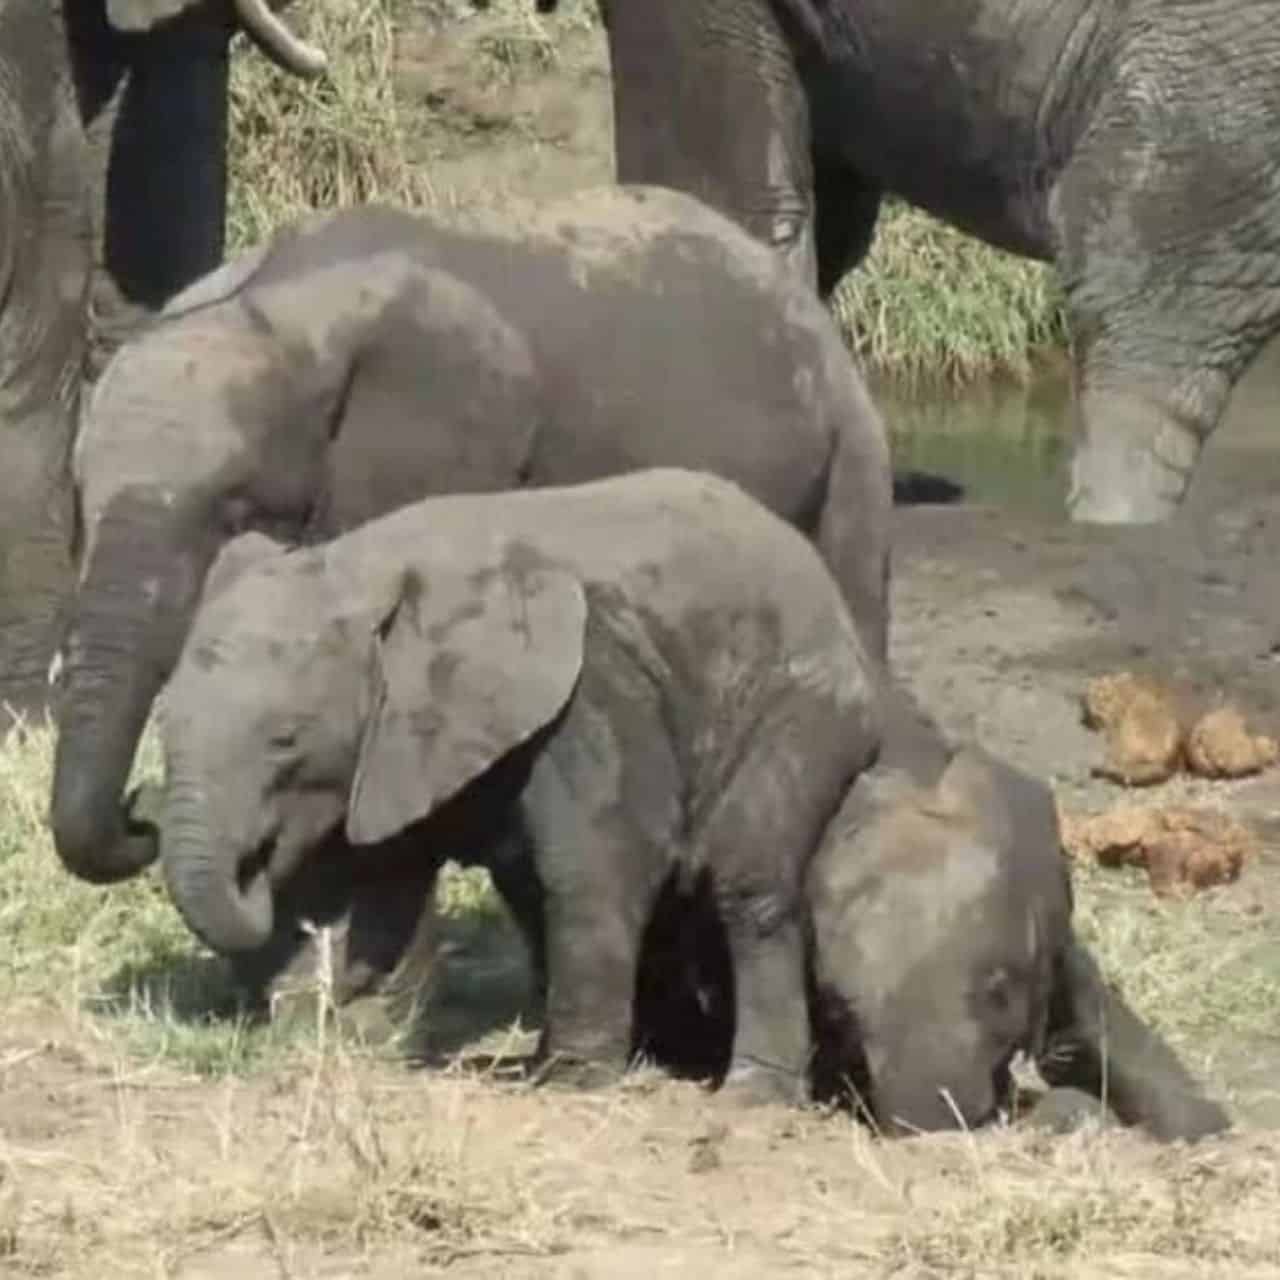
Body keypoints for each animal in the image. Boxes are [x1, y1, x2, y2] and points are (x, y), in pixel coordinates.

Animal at [153, 467, 883, 1101]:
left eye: (287, 739)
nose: (256, 863)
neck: (365, 566)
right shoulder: (400, 739)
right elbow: (387, 879)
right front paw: (359, 1036)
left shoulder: (594, 686)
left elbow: (598, 863)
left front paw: (573, 1082)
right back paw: (660, 1052)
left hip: (799, 707)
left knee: (745, 883)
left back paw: (748, 1093)